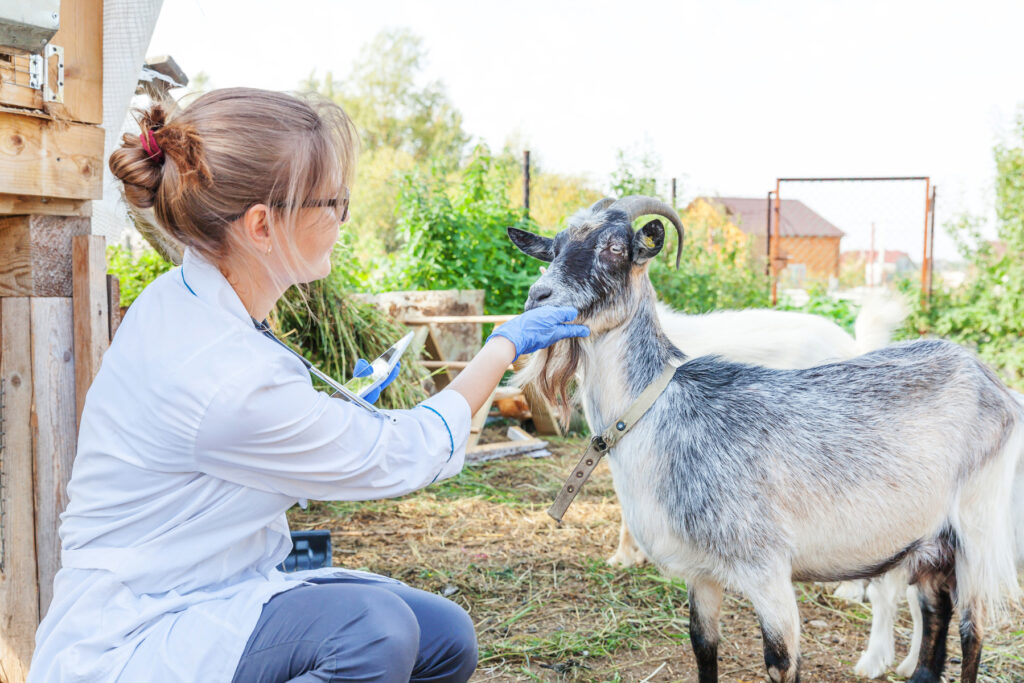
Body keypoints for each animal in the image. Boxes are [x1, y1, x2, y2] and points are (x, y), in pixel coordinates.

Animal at [508, 195, 1022, 683]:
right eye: (554, 248)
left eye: (615, 248)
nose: (539, 296)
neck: (655, 411)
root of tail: (986, 376)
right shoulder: (701, 573)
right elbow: (703, 648)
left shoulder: (768, 569)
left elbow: (780, 662)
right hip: (930, 542)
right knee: (936, 610)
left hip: (976, 528)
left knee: (972, 630)